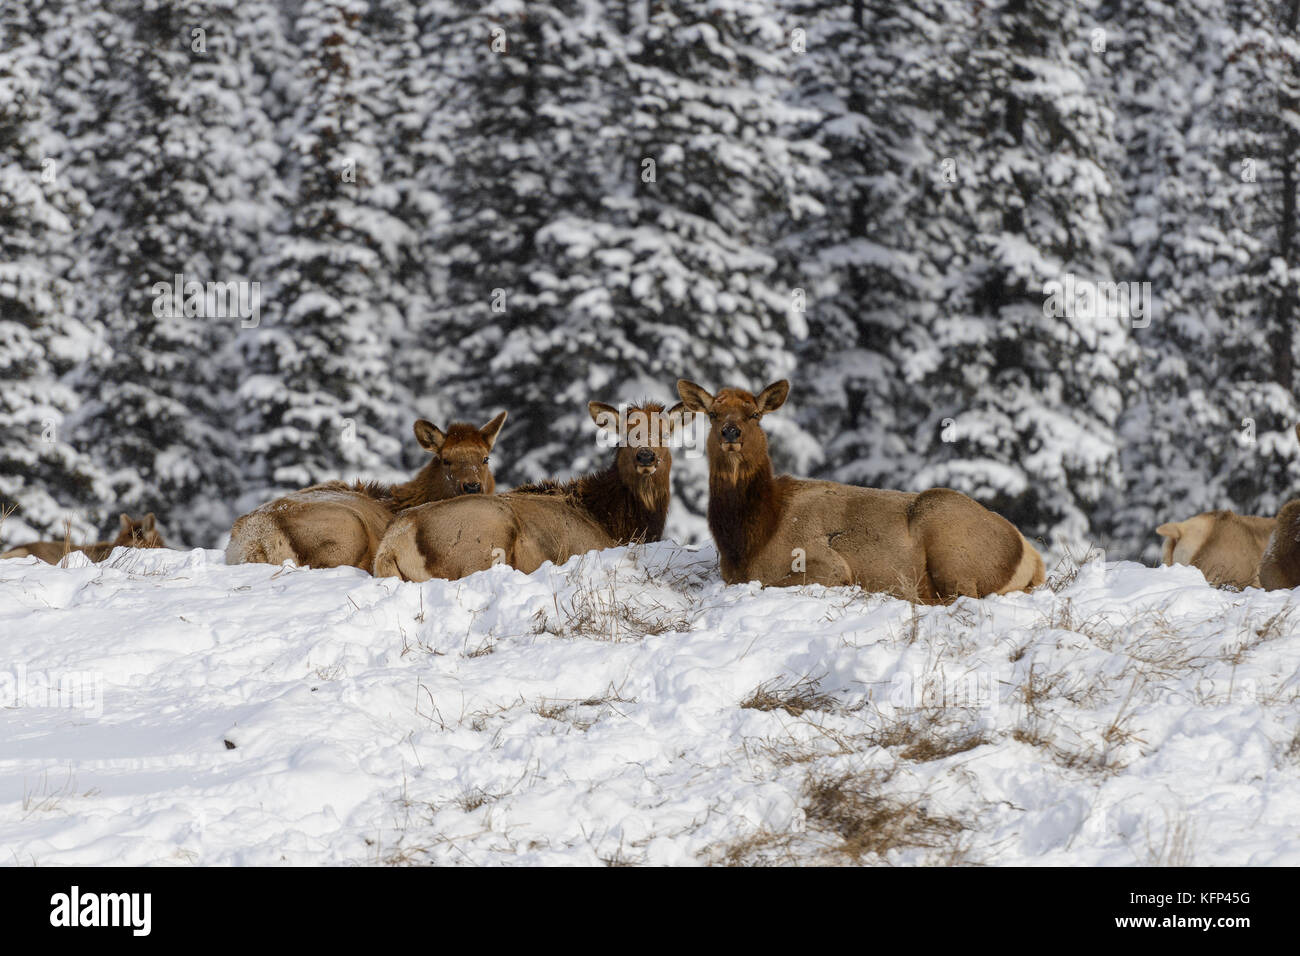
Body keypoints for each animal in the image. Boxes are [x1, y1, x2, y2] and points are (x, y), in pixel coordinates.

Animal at [372, 400, 684, 581]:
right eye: (626, 434)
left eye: (665, 433)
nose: (646, 456)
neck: (617, 521)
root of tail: (391, 546)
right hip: (485, 538)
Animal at [675, 379, 1044, 603]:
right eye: (713, 413)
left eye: (754, 414)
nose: (731, 432)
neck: (749, 538)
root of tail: (1030, 554)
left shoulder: (825, 564)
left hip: (950, 543)